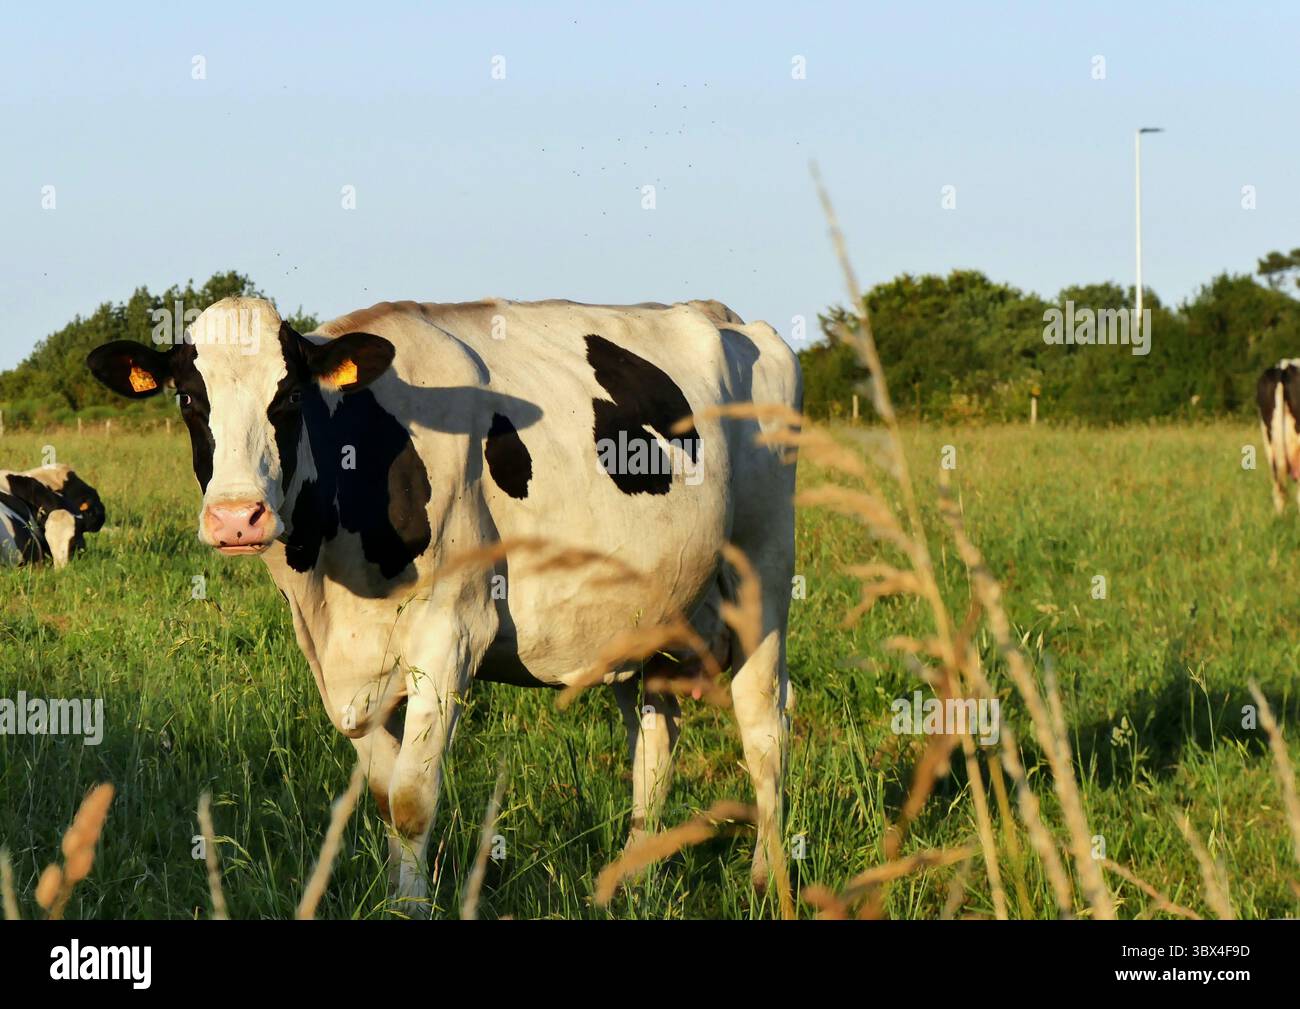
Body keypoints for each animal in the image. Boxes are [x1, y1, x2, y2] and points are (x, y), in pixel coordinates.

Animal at [87, 295, 800, 905]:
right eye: (189, 397)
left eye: (288, 397)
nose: (237, 518)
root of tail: (730, 318)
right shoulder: (335, 662)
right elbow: (381, 793)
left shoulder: (452, 631)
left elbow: (411, 799)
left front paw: (412, 907)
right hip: (644, 615)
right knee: (653, 739)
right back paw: (632, 879)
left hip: (763, 573)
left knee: (764, 726)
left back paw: (769, 881)